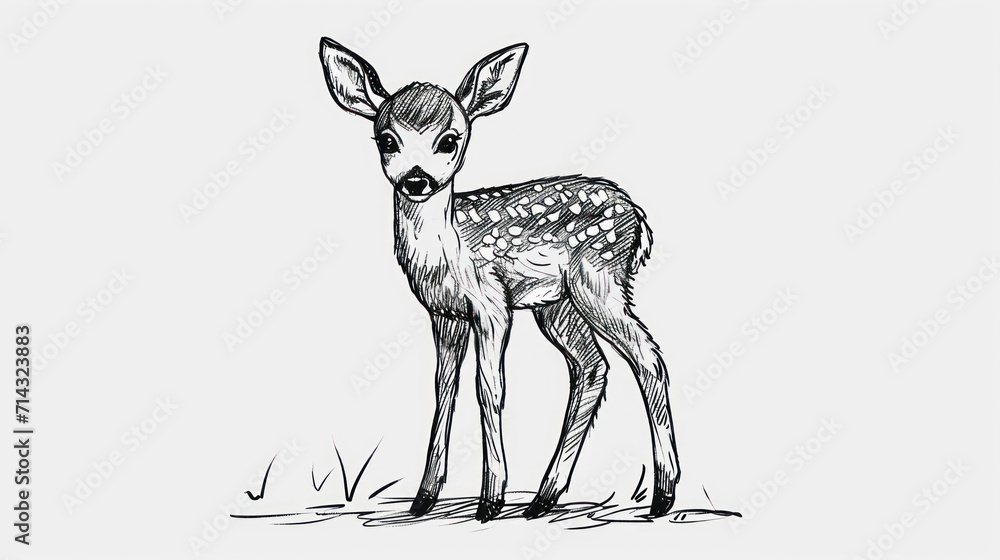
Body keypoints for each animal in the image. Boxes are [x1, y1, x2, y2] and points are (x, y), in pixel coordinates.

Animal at [319, 38, 679, 522]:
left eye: (450, 139)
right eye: (387, 140)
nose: (417, 180)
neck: (447, 254)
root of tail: (638, 219)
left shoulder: (493, 304)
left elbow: (488, 389)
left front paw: (490, 500)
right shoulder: (445, 314)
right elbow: (443, 390)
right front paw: (423, 499)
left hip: (599, 279)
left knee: (647, 357)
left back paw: (661, 497)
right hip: (557, 306)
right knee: (592, 368)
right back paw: (544, 499)